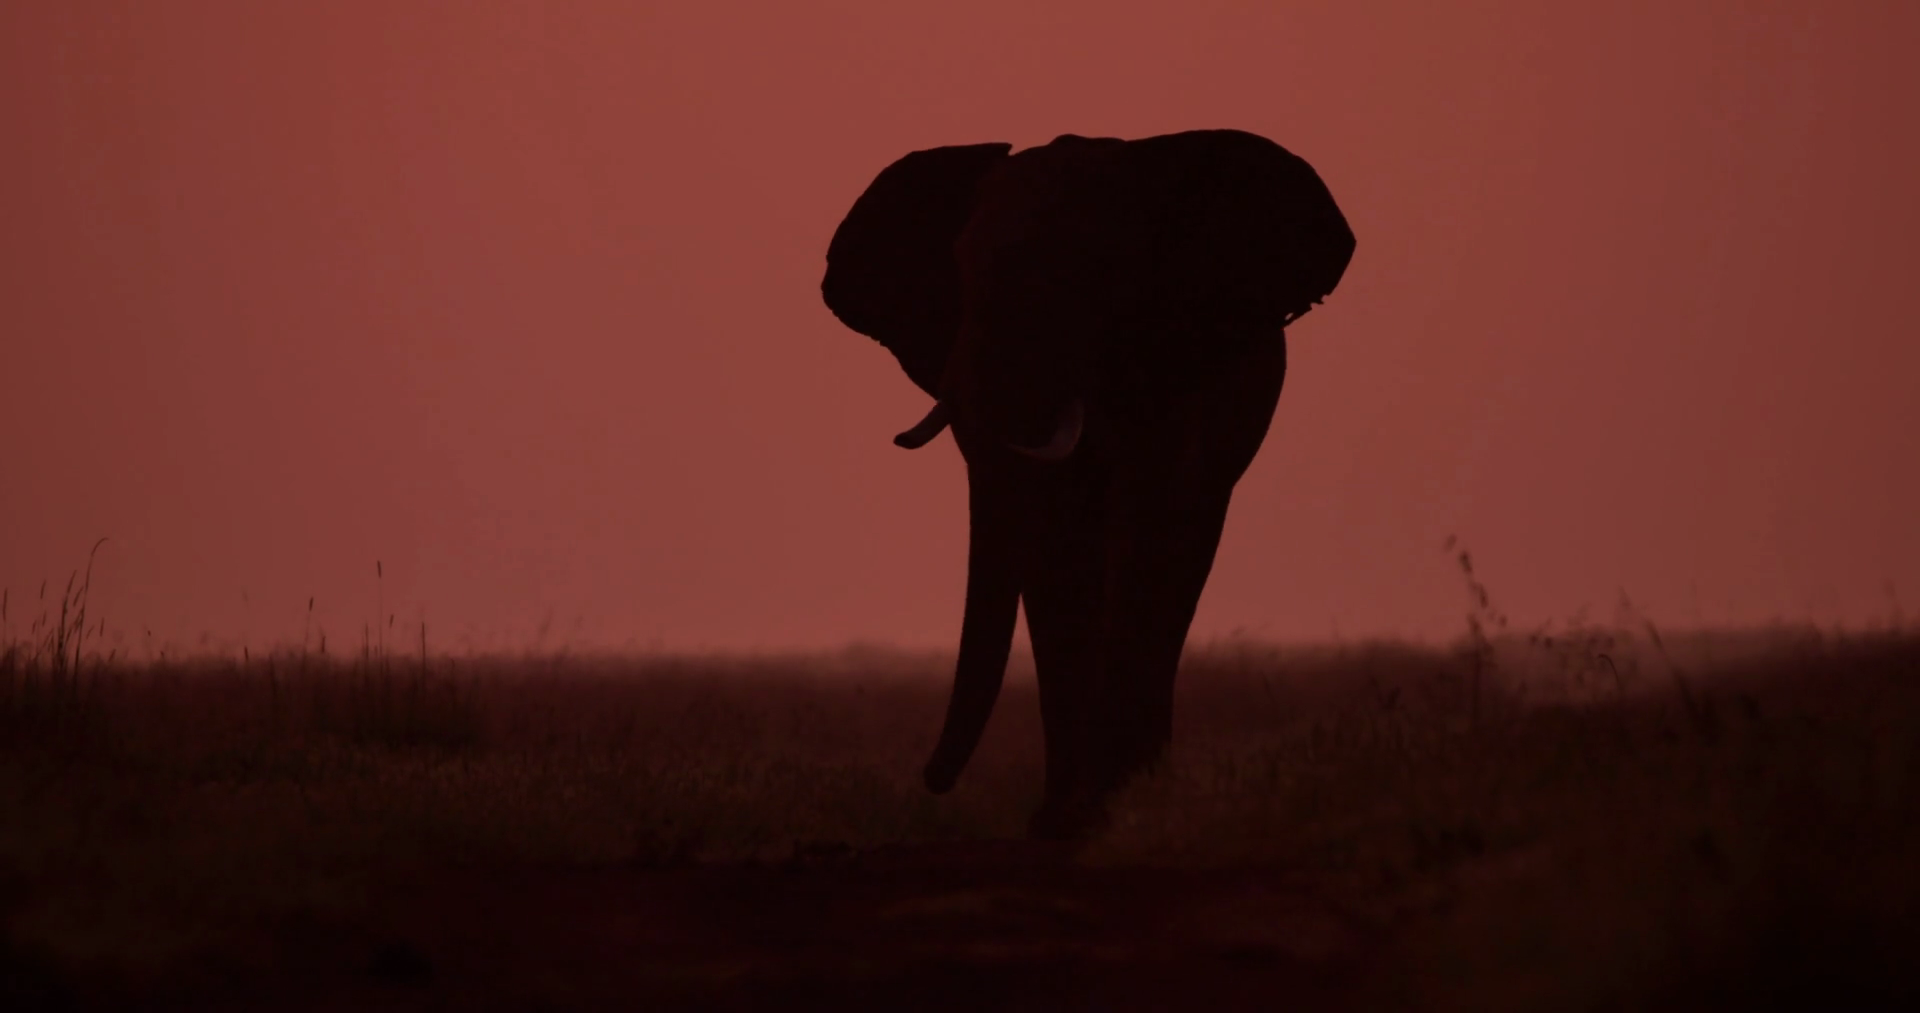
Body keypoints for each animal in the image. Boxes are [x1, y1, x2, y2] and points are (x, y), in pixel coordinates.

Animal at [821, 129, 1355, 839]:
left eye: (1078, 278)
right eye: (960, 270)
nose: (930, 782)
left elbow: (1146, 523)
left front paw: (1100, 812)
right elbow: (1056, 544)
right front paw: (1060, 820)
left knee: (1184, 551)